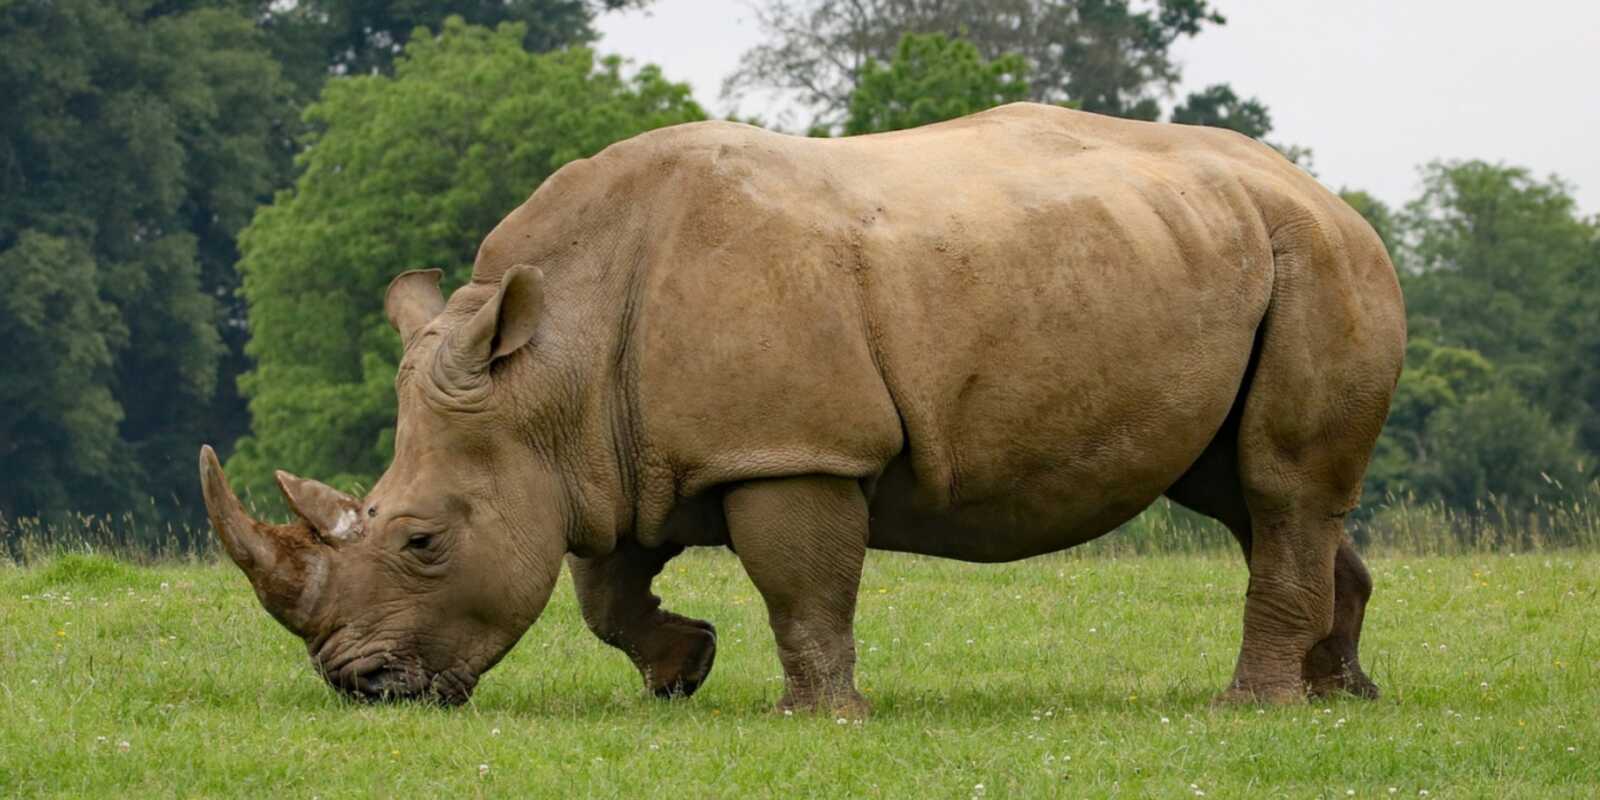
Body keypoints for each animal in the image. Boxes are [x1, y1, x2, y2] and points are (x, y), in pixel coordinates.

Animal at [199, 103, 1404, 712]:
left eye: (420, 540)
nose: (359, 688)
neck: (548, 372)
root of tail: (1330, 193)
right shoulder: (612, 456)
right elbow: (603, 588)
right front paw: (681, 671)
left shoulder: (790, 447)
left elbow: (802, 584)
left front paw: (817, 717)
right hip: (1217, 252)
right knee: (1249, 492)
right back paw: (1343, 695)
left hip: (1321, 263)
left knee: (1278, 485)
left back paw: (1253, 708)